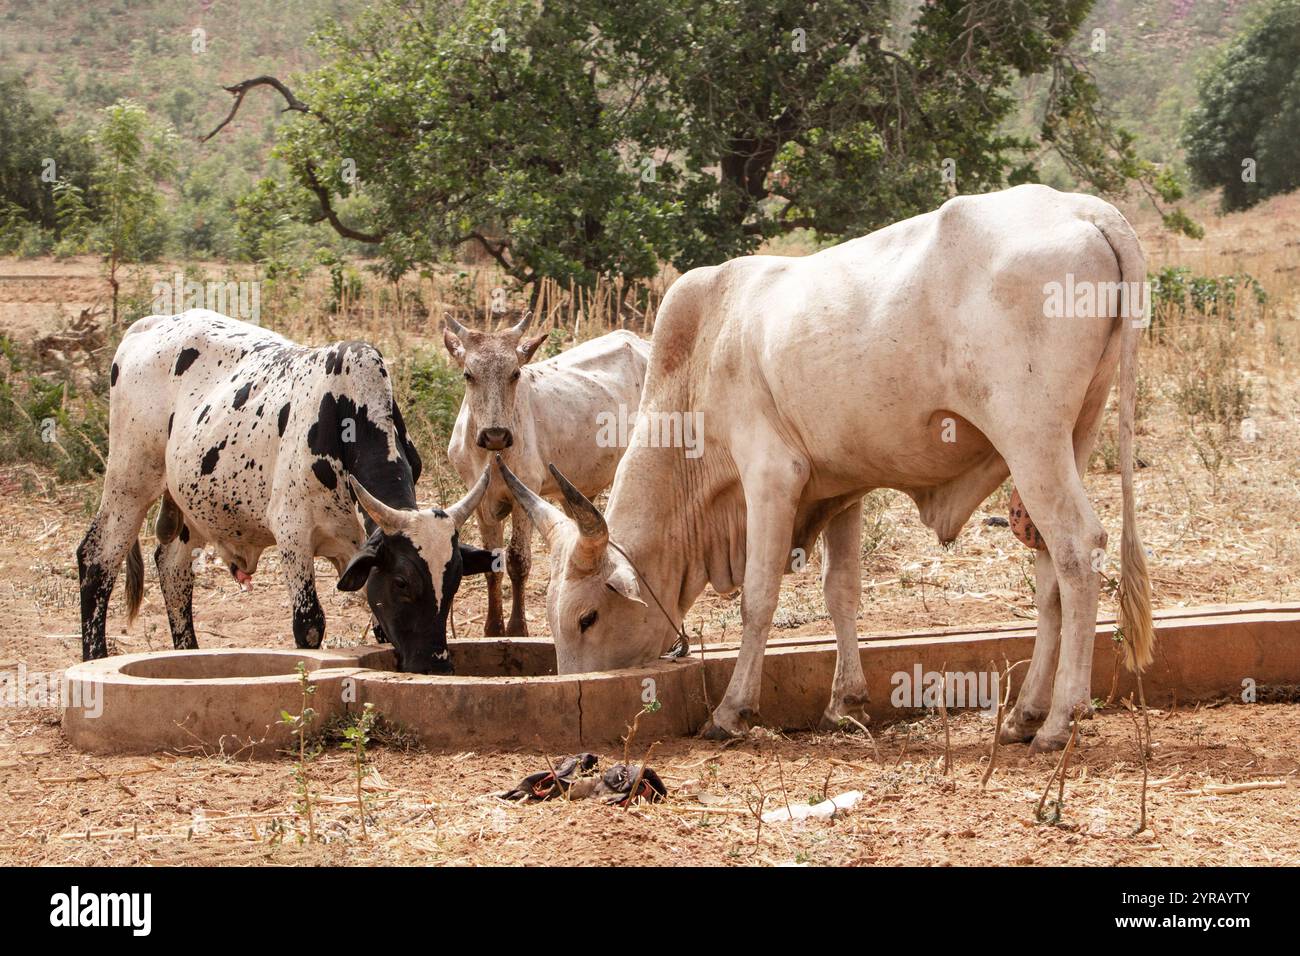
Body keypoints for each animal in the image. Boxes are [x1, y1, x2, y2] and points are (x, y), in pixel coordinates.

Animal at [77, 309, 494, 674]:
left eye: (454, 580)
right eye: (402, 582)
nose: (435, 664)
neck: (346, 414)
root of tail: (151, 324)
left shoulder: (356, 546)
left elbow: (378, 624)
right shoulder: (293, 533)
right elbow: (309, 624)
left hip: (192, 503)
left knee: (173, 567)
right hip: (131, 480)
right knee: (98, 558)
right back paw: (95, 658)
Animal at [443, 312, 650, 636]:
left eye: (515, 373)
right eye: (468, 374)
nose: (495, 434)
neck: (492, 455)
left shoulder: (523, 494)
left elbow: (518, 560)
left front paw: (517, 628)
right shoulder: (480, 500)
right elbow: (492, 563)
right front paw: (493, 629)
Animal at [496, 184, 1155, 752]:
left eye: (586, 618)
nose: (574, 700)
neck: (701, 358)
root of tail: (1084, 208)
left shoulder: (770, 476)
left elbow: (758, 596)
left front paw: (732, 710)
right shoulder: (843, 488)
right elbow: (841, 592)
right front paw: (845, 702)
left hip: (1030, 439)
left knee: (1078, 549)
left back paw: (1060, 720)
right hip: (1071, 438)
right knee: (1050, 569)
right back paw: (1025, 714)